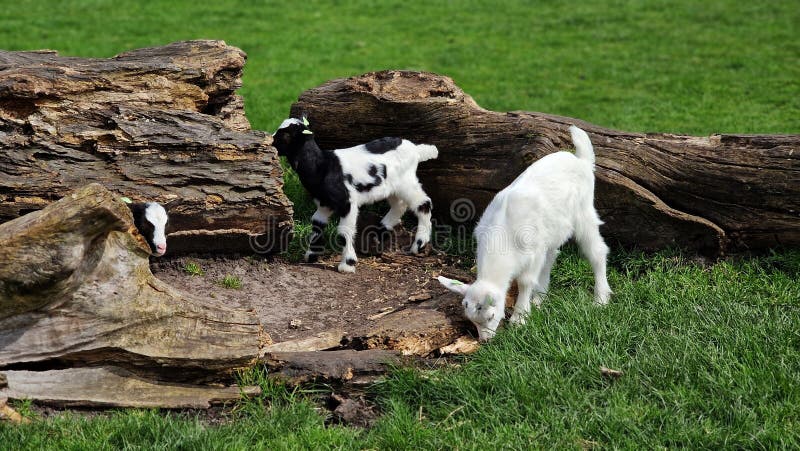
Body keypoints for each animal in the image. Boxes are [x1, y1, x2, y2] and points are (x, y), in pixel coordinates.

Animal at [273, 117, 438, 273]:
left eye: (286, 134)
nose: (271, 142)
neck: (322, 165)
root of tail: (416, 150)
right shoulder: (324, 203)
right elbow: (317, 224)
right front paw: (311, 255)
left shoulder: (347, 202)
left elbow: (343, 232)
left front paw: (347, 264)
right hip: (393, 187)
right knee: (400, 205)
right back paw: (380, 231)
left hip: (406, 182)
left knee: (423, 203)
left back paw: (419, 244)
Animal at [438, 125, 611, 341]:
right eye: (471, 320)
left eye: (490, 316)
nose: (485, 341)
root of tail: (581, 160)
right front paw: (529, 308)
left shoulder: (533, 250)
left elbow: (525, 281)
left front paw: (519, 319)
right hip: (552, 230)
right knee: (551, 256)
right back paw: (539, 298)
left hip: (584, 211)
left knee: (597, 251)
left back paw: (600, 299)